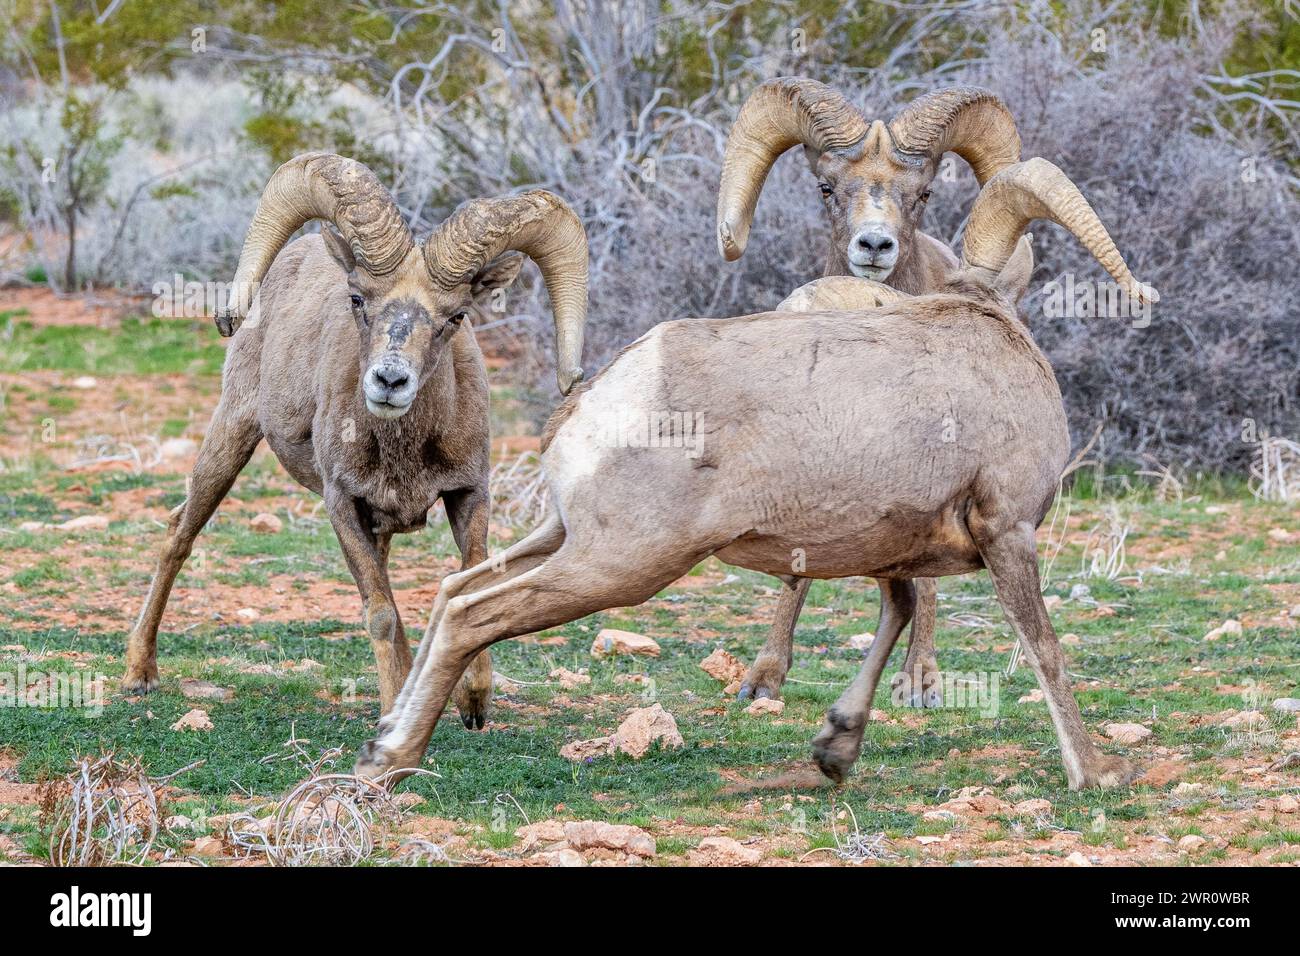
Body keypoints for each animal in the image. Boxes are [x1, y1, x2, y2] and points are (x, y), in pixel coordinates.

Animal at [120, 152, 589, 722]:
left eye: (456, 316)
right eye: (358, 299)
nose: (389, 381)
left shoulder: (468, 495)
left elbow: (471, 583)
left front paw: (473, 702)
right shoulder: (341, 504)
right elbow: (382, 613)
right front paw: (394, 718)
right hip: (232, 433)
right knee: (179, 533)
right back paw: (140, 673)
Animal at [354, 157, 1154, 791]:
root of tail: (601, 397)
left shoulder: (894, 554)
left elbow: (896, 615)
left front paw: (836, 750)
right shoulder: (1007, 532)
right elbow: (1044, 648)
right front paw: (1097, 775)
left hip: (562, 539)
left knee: (454, 591)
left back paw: (382, 742)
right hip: (622, 564)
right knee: (473, 614)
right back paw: (393, 761)